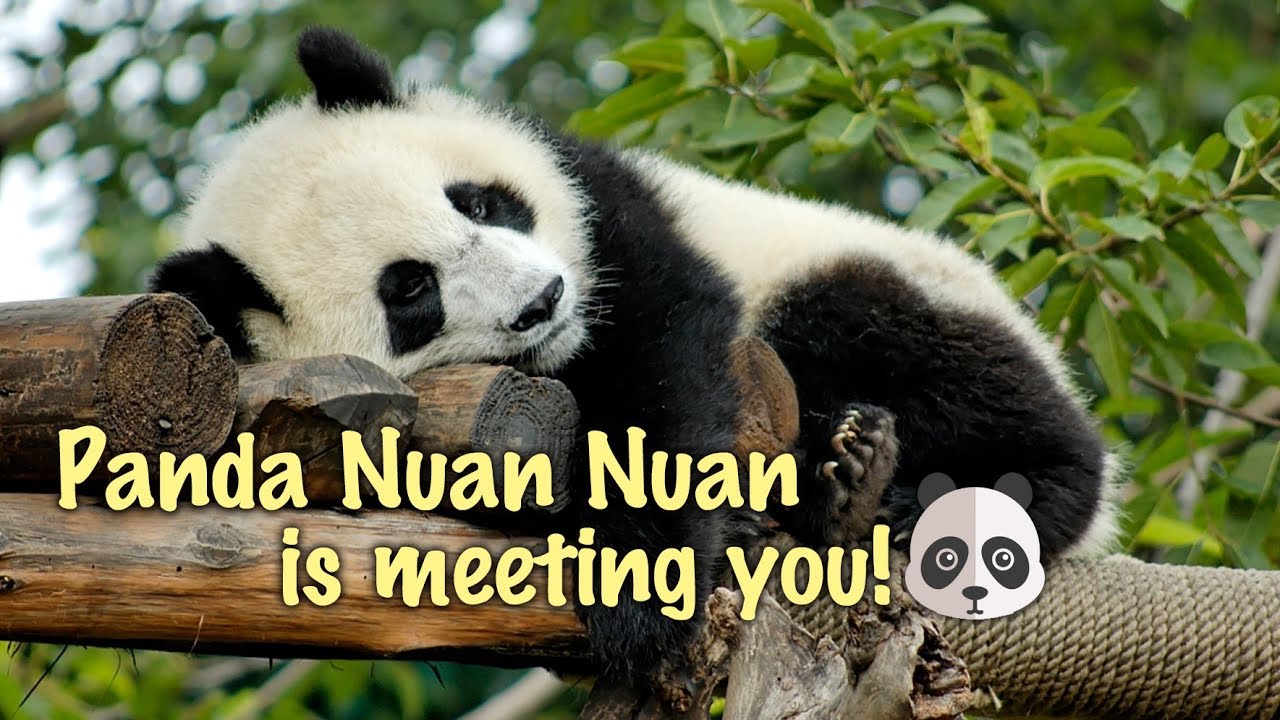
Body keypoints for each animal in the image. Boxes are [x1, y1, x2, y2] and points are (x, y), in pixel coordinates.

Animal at [151, 27, 1120, 684]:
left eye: (479, 202)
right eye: (411, 291)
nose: (544, 301)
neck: (572, 351)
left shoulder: (606, 212)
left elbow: (667, 347)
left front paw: (644, 585)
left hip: (870, 279)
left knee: (918, 352)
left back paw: (933, 488)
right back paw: (841, 488)